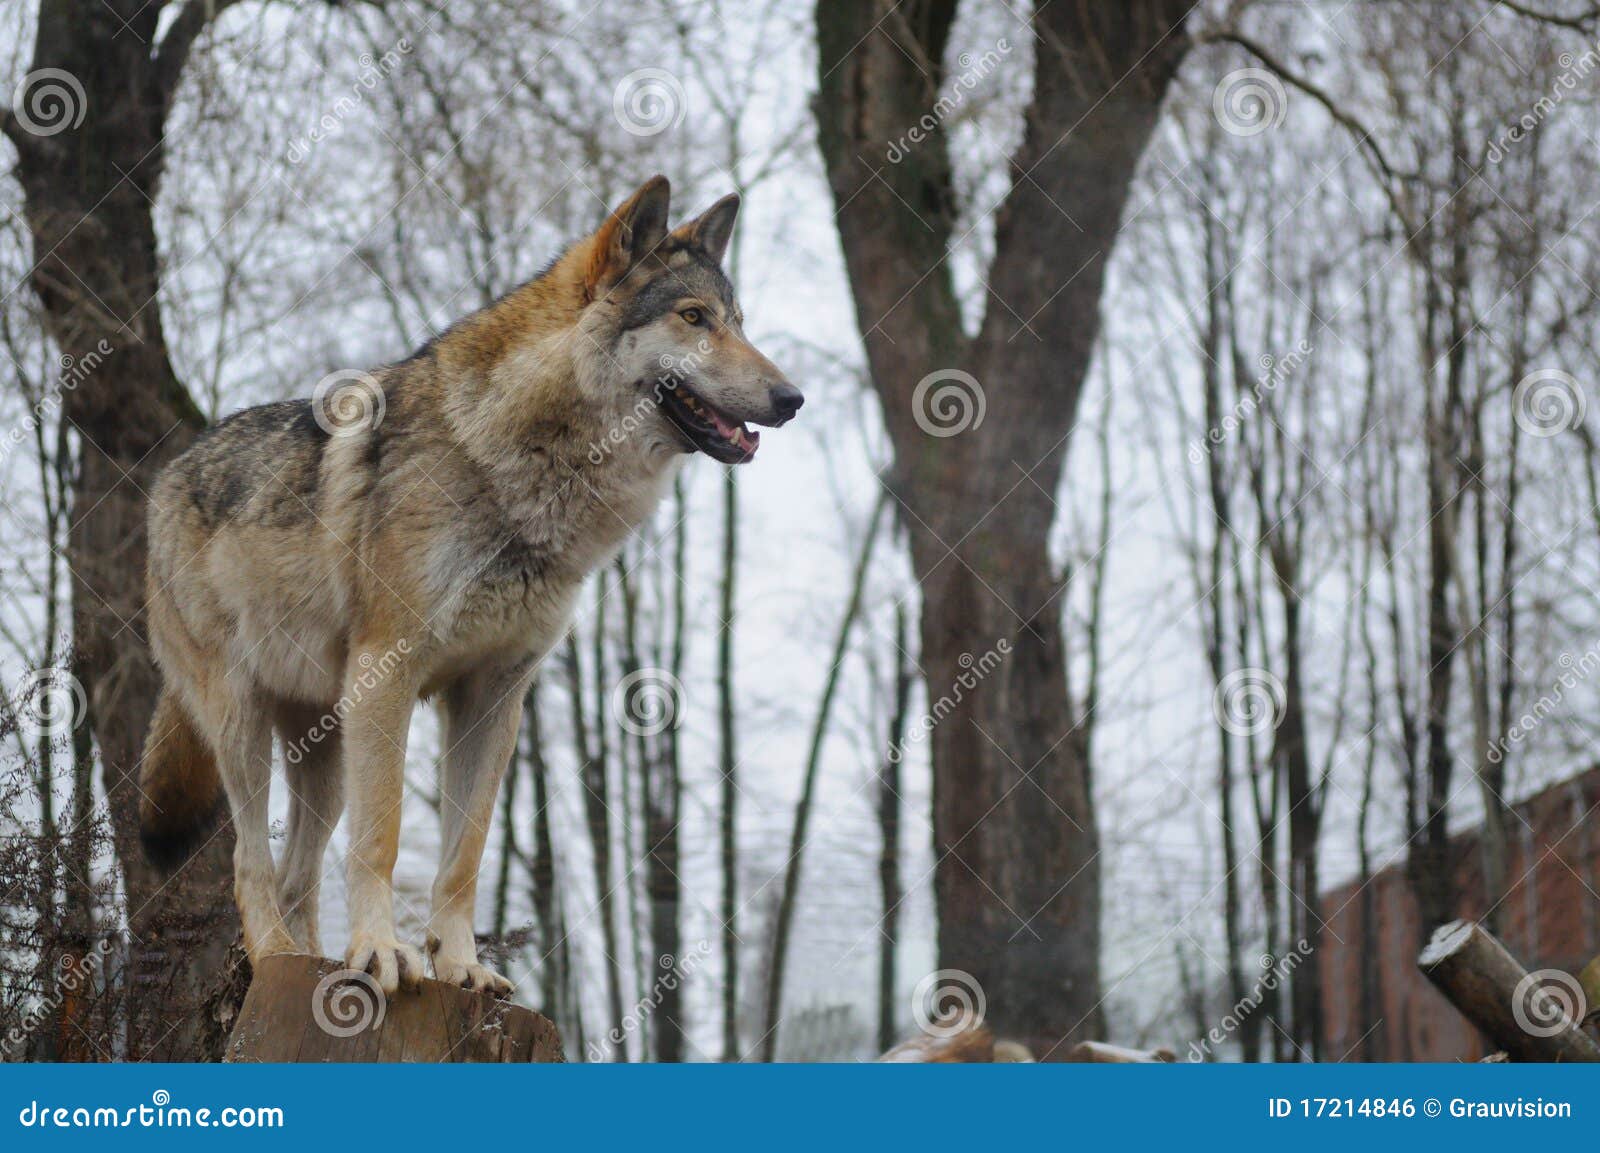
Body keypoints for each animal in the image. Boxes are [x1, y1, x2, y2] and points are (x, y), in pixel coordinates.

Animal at [137, 176, 801, 996]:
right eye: (693, 318)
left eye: (738, 324)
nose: (793, 398)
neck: (522, 464)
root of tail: (168, 475)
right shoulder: (387, 674)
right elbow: (384, 838)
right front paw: (381, 953)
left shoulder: (494, 695)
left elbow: (466, 853)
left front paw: (459, 966)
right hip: (245, 725)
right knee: (247, 863)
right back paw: (280, 958)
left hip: (324, 748)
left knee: (296, 873)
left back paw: (309, 960)